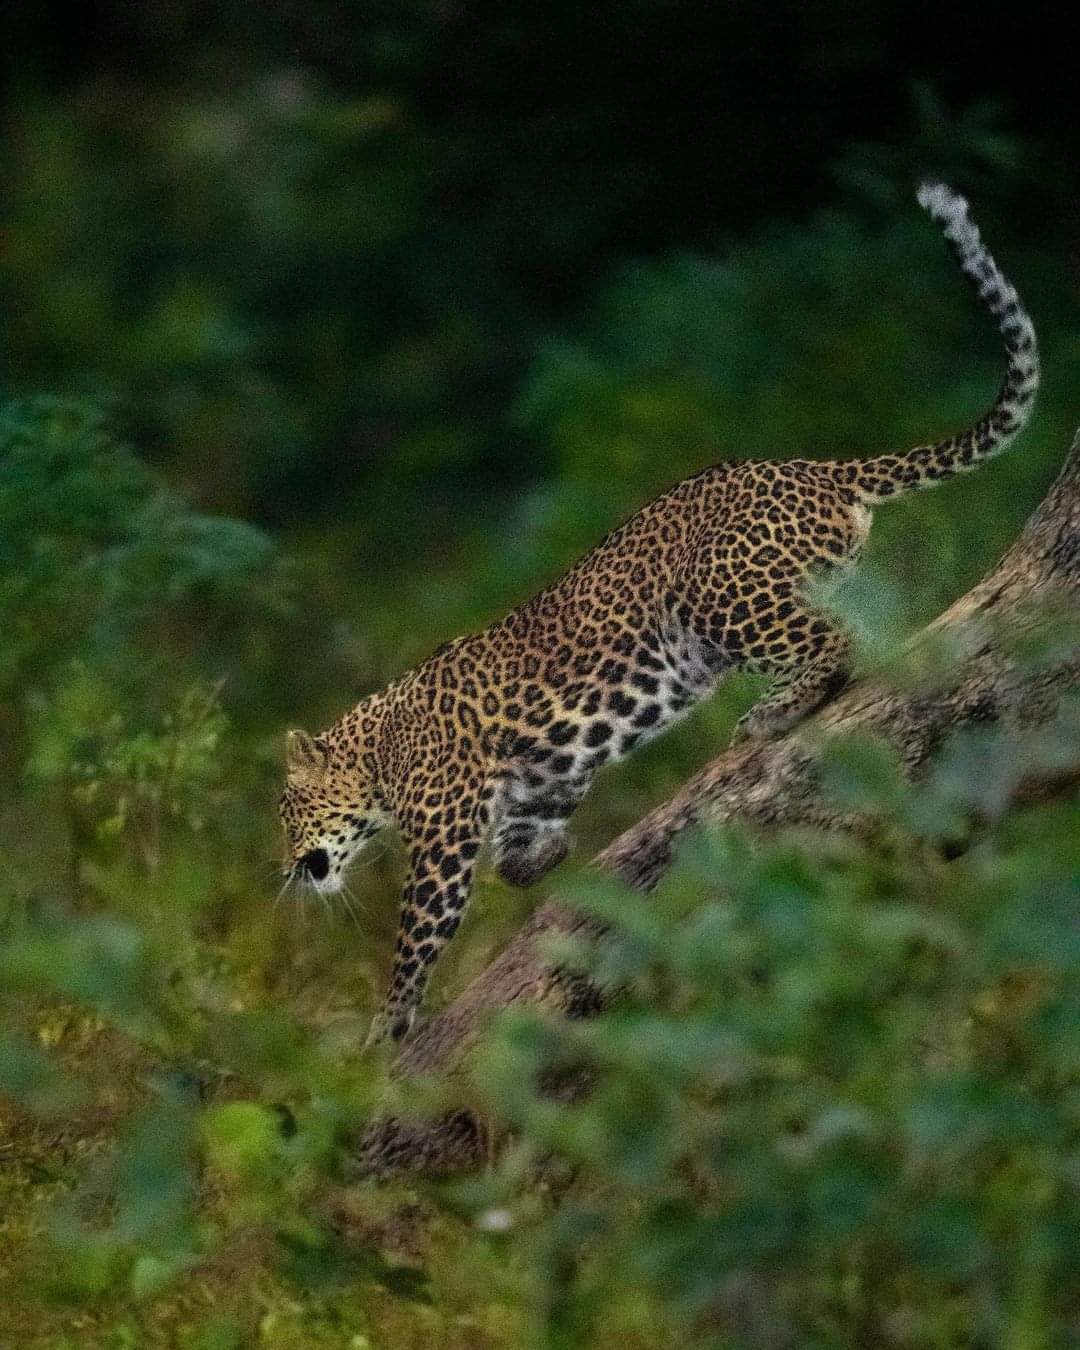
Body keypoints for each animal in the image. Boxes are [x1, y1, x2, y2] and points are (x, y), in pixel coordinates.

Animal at [279, 182, 1038, 1045]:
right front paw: (542, 863)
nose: (286, 870)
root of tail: (813, 467)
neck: (378, 750)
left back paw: (775, 711)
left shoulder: (442, 830)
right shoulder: (540, 782)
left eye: (288, 810)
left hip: (721, 597)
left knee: (836, 642)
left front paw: (386, 1025)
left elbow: (417, 928)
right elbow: (525, 839)